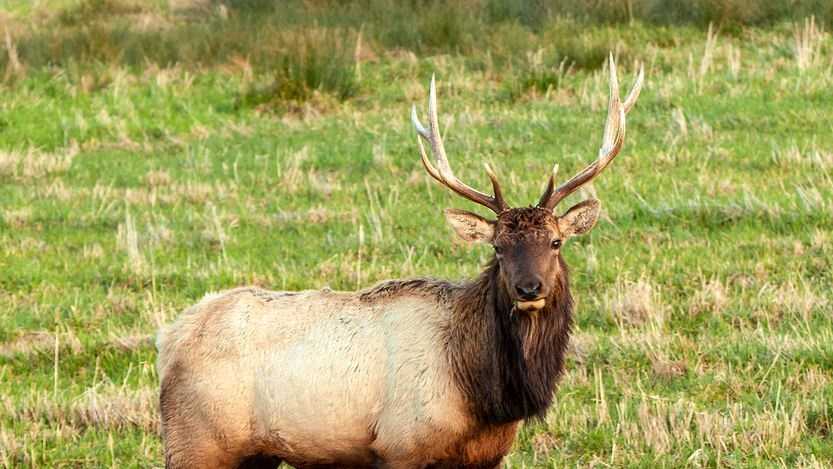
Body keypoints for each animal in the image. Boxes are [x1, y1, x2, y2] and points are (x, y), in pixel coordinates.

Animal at [156, 55, 643, 469]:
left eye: (556, 242)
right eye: (498, 247)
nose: (529, 288)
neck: (483, 393)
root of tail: (169, 339)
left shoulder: (486, 456)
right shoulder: (402, 445)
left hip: (253, 453)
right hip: (195, 440)